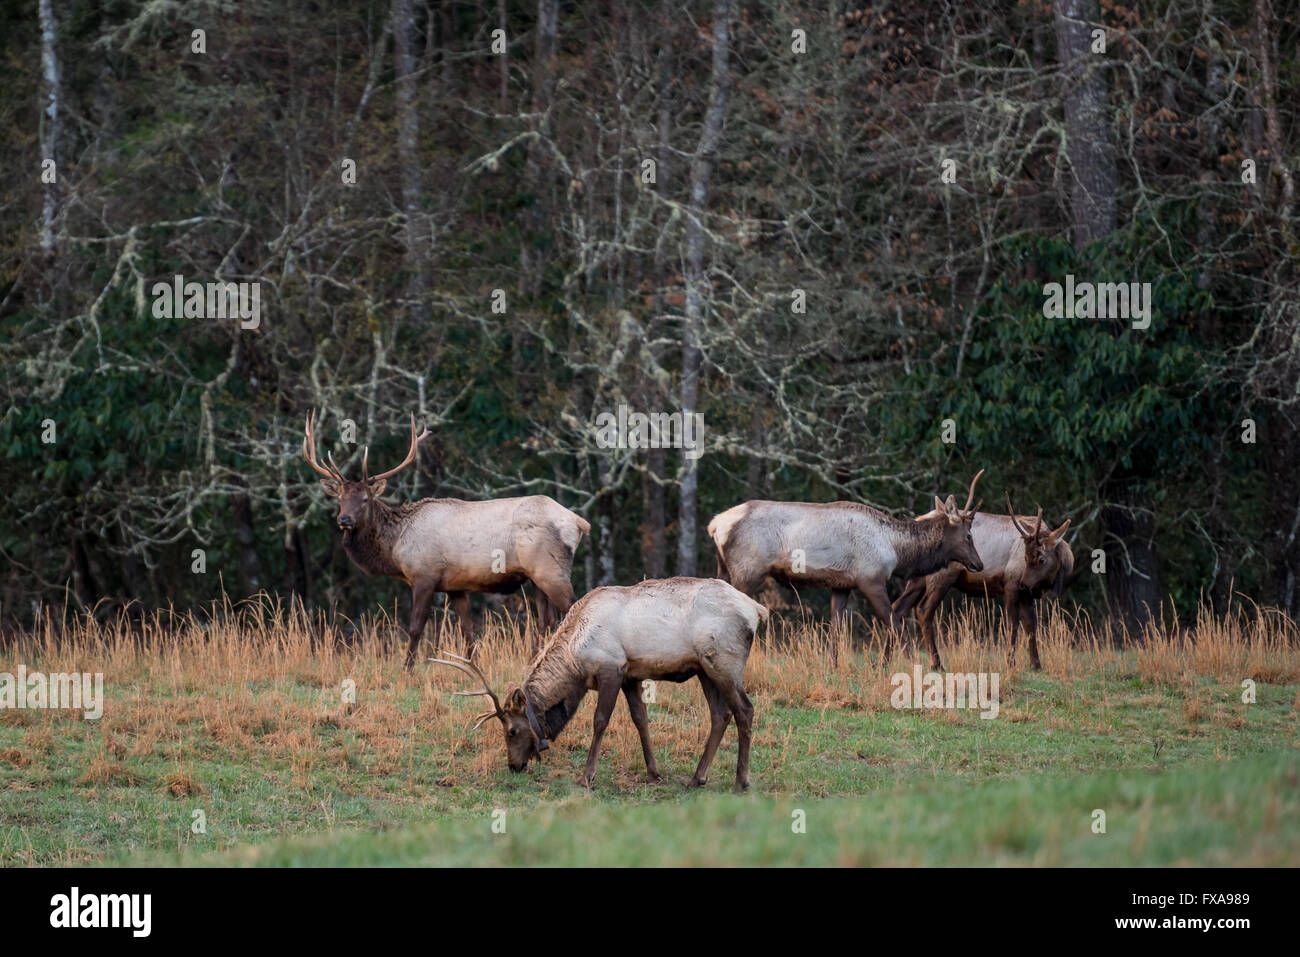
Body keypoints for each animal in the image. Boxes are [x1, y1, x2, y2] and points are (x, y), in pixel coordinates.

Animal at [302, 411, 590, 668]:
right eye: (340, 499)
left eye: (365, 499)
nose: (344, 520)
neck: (395, 547)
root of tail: (578, 522)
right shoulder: (455, 586)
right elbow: (467, 630)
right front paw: (474, 668)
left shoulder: (424, 575)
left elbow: (416, 627)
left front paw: (407, 669)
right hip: (535, 577)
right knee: (547, 620)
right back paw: (533, 664)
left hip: (550, 568)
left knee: (573, 608)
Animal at [432, 577, 767, 792]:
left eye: (511, 731)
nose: (513, 765)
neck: (575, 660)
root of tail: (757, 610)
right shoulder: (631, 674)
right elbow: (640, 719)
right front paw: (653, 773)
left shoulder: (611, 668)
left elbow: (600, 721)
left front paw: (586, 777)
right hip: (704, 669)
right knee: (720, 715)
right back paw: (697, 778)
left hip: (723, 662)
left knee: (745, 710)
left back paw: (741, 781)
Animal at [707, 471, 986, 641]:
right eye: (968, 535)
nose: (978, 563)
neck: (896, 550)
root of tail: (715, 524)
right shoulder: (870, 579)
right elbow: (895, 625)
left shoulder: (841, 584)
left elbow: (836, 634)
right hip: (748, 571)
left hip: (724, 569)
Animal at [892, 492, 1074, 671]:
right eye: (1027, 558)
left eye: (1040, 559)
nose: (1024, 584)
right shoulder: (1011, 583)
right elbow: (1012, 624)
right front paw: (1010, 663)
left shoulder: (1025, 593)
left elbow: (1030, 626)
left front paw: (1036, 664)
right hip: (941, 577)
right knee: (923, 610)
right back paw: (936, 664)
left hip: (918, 579)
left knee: (898, 608)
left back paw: (893, 659)